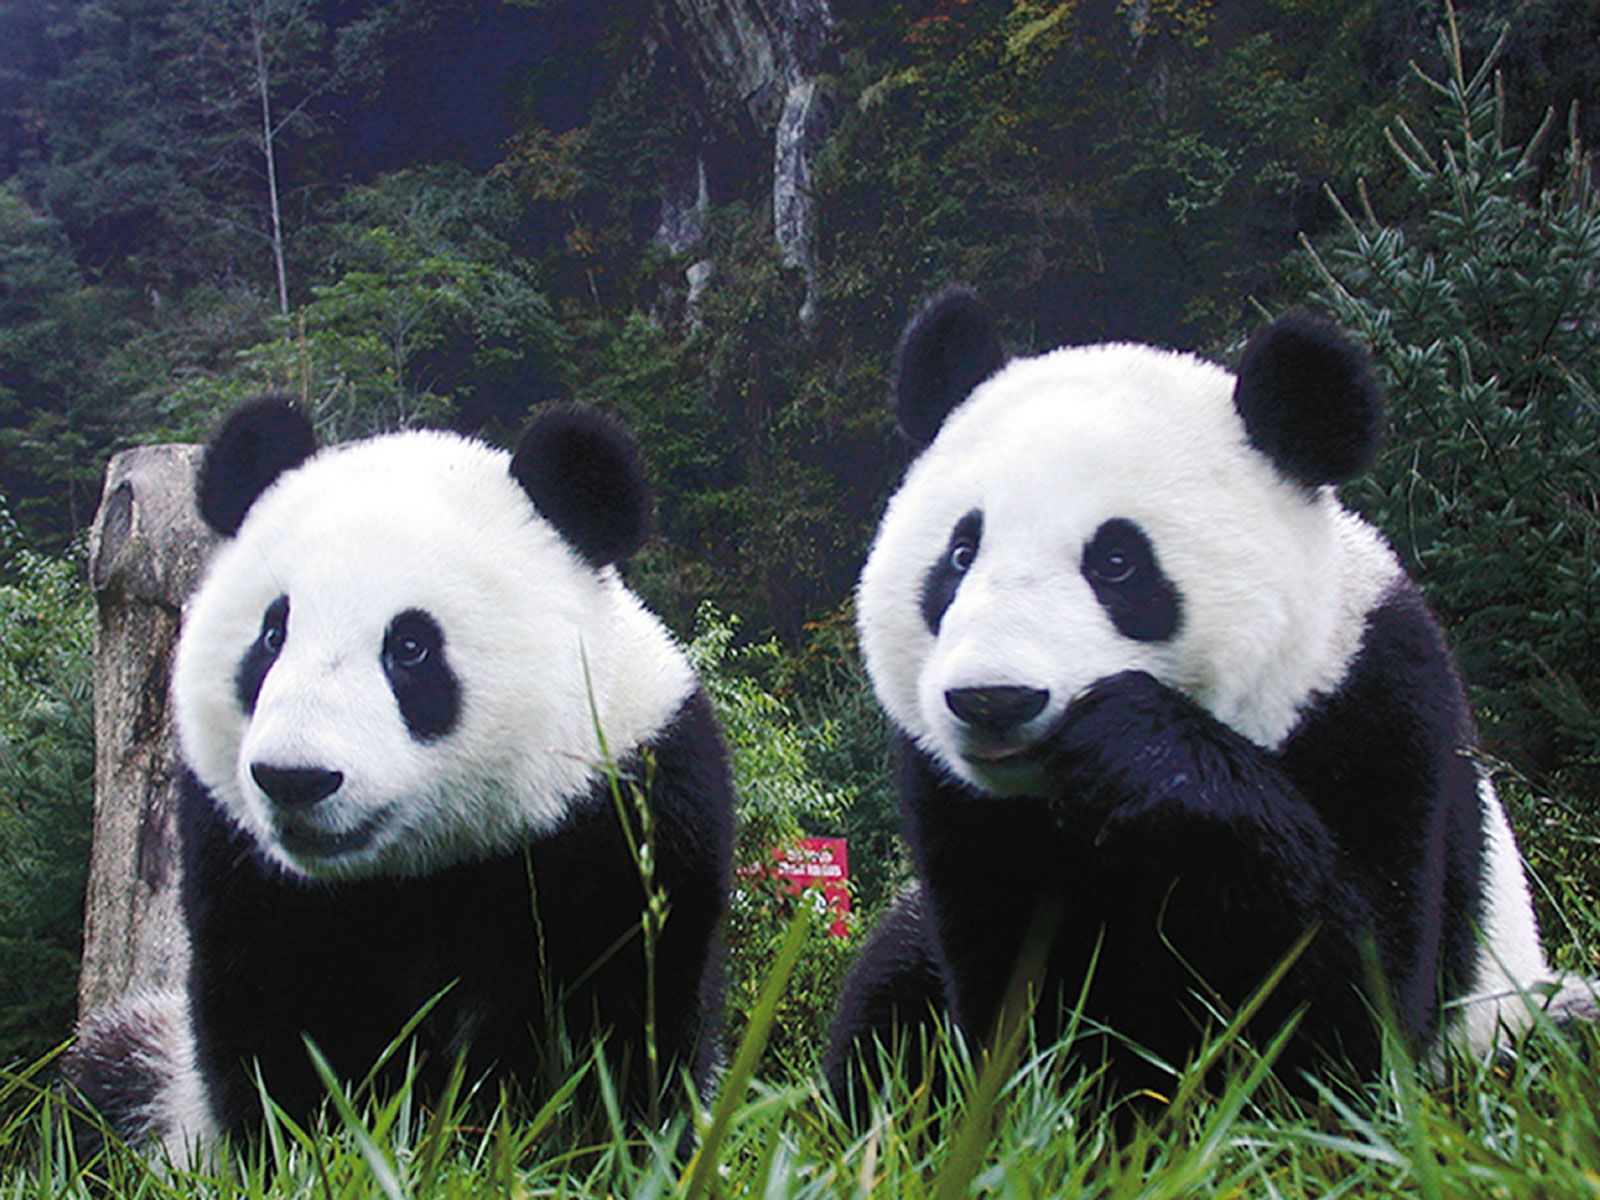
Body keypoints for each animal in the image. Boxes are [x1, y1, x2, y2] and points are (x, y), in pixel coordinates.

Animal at [64, 398, 735, 1161]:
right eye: (272, 636)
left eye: (411, 647)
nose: (295, 778)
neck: (417, 871)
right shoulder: (247, 872)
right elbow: (280, 1033)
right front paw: (335, 1150)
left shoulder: (622, 813)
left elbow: (614, 1027)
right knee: (103, 1087)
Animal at [824, 287, 1591, 1115]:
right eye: (961, 555)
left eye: (1118, 563)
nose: (994, 698)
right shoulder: (963, 807)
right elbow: (1019, 992)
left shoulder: (1379, 700)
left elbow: (1350, 1006)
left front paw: (1143, 751)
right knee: (890, 985)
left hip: (1509, 1023)